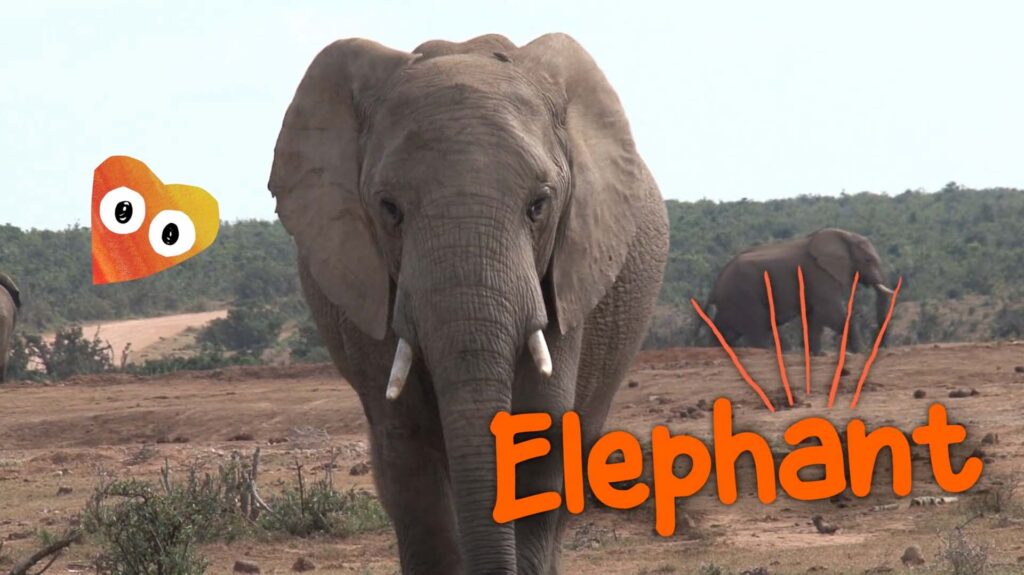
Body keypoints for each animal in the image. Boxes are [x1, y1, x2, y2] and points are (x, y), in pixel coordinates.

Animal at [702, 228, 894, 355]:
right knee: (758, 326)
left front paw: (817, 355)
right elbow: (829, 313)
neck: (844, 236)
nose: (877, 346)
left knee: (726, 330)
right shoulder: (819, 274)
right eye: (868, 260)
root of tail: (716, 284)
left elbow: (814, 317)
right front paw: (859, 352)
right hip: (744, 295)